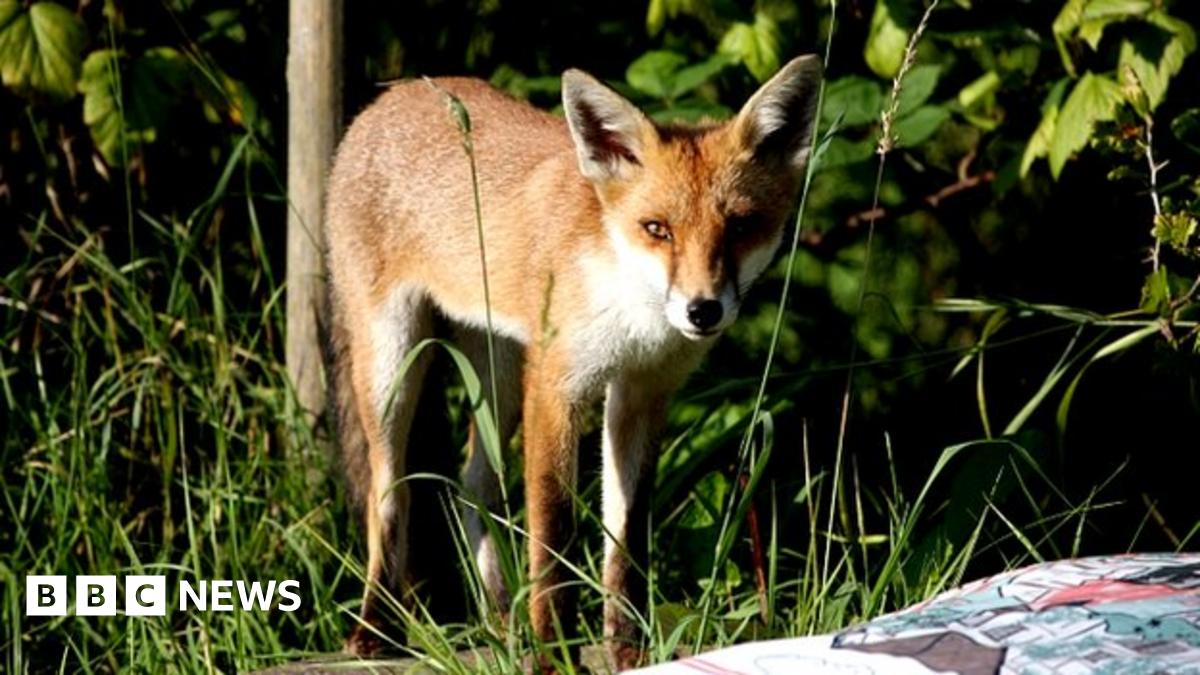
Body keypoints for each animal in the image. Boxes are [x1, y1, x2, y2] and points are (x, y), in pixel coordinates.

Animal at [324, 54, 822, 668]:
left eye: (741, 226)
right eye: (658, 229)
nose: (703, 310)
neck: (631, 314)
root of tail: (392, 95)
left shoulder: (640, 393)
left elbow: (626, 537)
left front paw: (629, 650)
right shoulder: (557, 390)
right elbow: (552, 534)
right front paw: (552, 654)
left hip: (498, 376)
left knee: (473, 486)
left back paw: (500, 619)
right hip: (392, 366)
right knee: (390, 493)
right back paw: (376, 626)